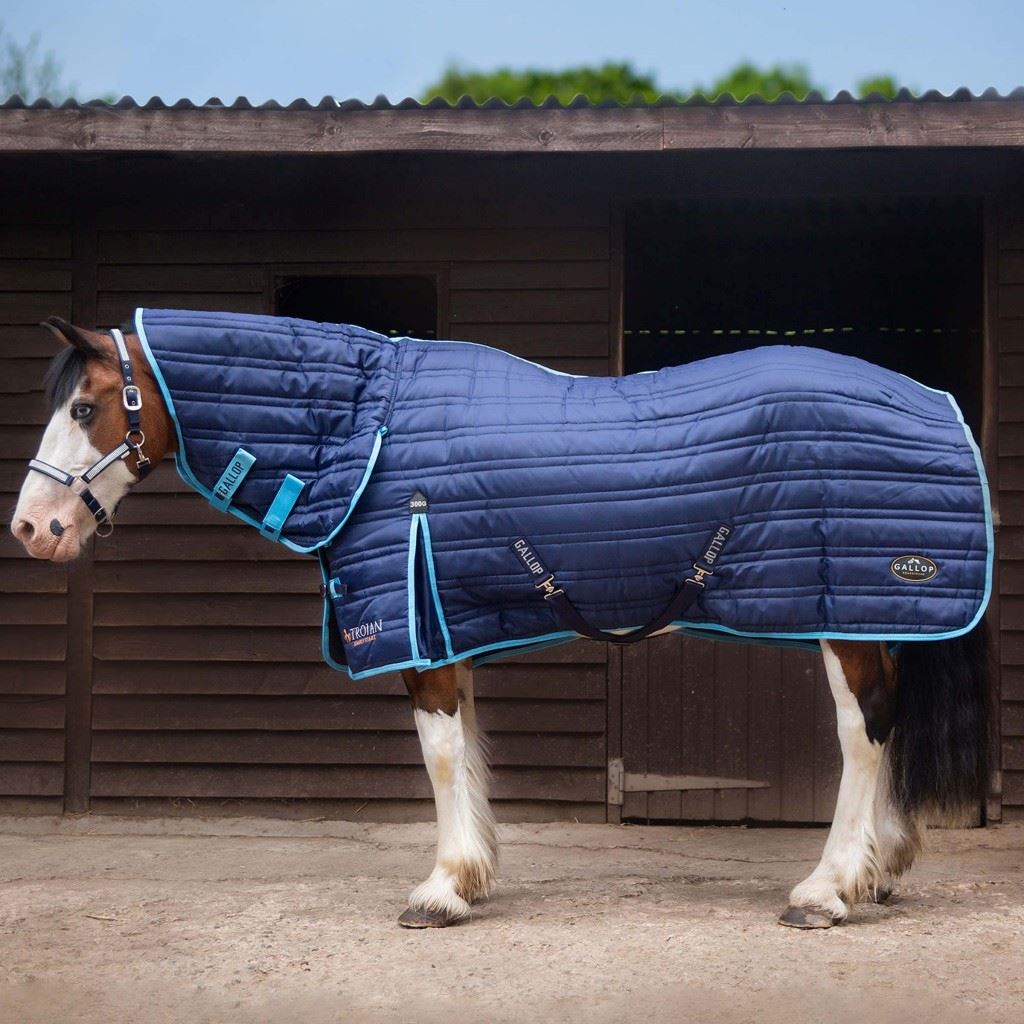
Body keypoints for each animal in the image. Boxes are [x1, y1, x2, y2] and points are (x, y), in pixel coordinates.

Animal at [11, 315, 990, 931]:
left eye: (85, 407)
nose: (32, 529)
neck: (363, 430)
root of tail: (938, 404)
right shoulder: (445, 617)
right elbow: (468, 749)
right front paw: (471, 875)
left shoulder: (416, 630)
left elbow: (441, 753)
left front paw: (442, 891)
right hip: (876, 612)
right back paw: (879, 870)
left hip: (846, 614)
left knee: (864, 733)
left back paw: (828, 890)